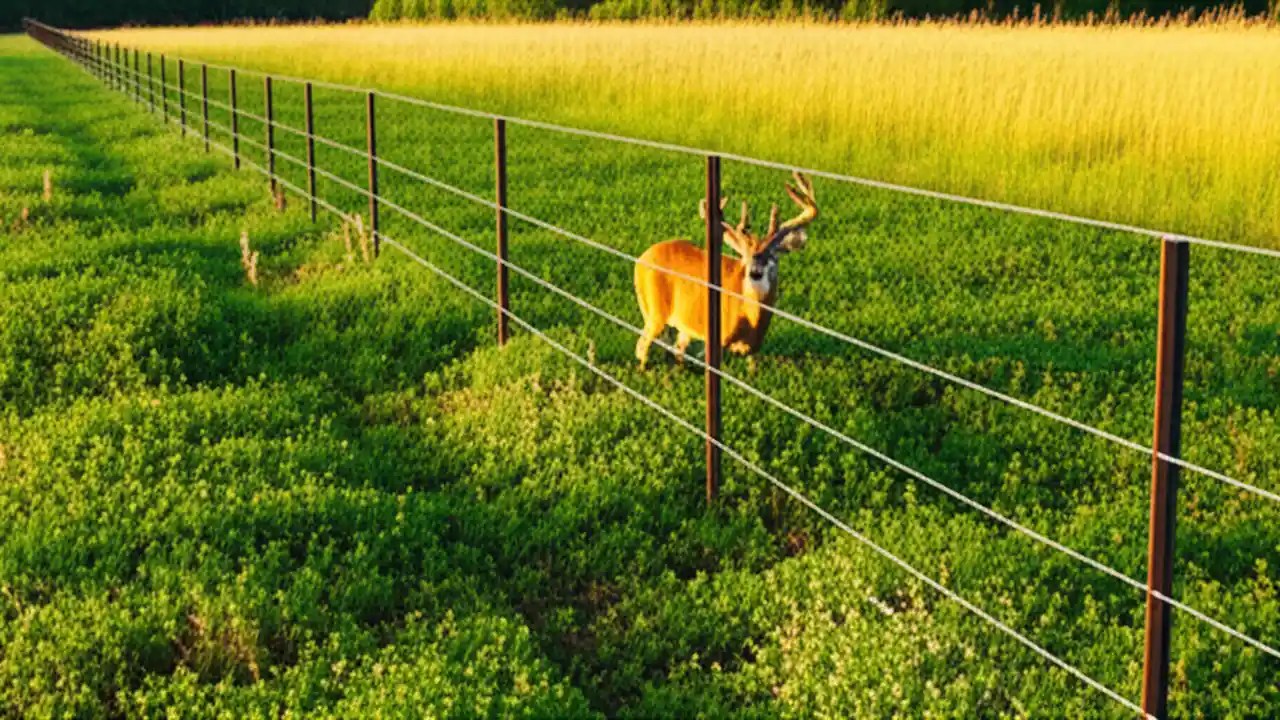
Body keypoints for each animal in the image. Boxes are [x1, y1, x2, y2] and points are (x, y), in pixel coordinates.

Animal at [633, 172, 817, 368]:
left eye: (773, 257)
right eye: (744, 257)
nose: (755, 272)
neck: (752, 322)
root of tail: (641, 259)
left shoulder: (754, 350)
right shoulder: (717, 338)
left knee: (675, 348)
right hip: (654, 310)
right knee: (642, 346)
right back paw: (644, 368)